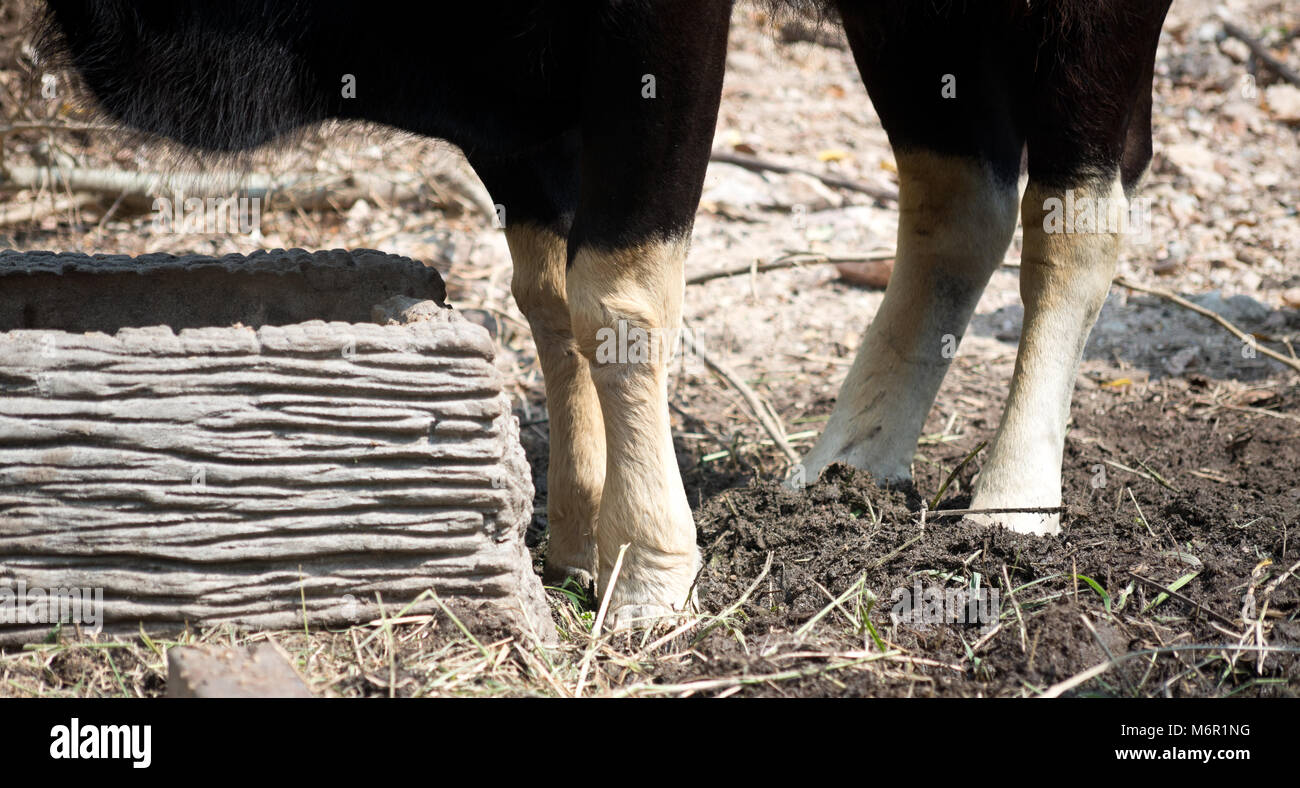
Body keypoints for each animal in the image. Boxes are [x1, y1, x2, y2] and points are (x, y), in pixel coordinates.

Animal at [37, 0, 1173, 628]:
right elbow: (548, 291)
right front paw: (580, 532)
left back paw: (1012, 501)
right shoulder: (508, 104)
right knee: (959, 196)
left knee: (1074, 214)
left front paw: (650, 570)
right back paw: (843, 466)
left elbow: (618, 292)